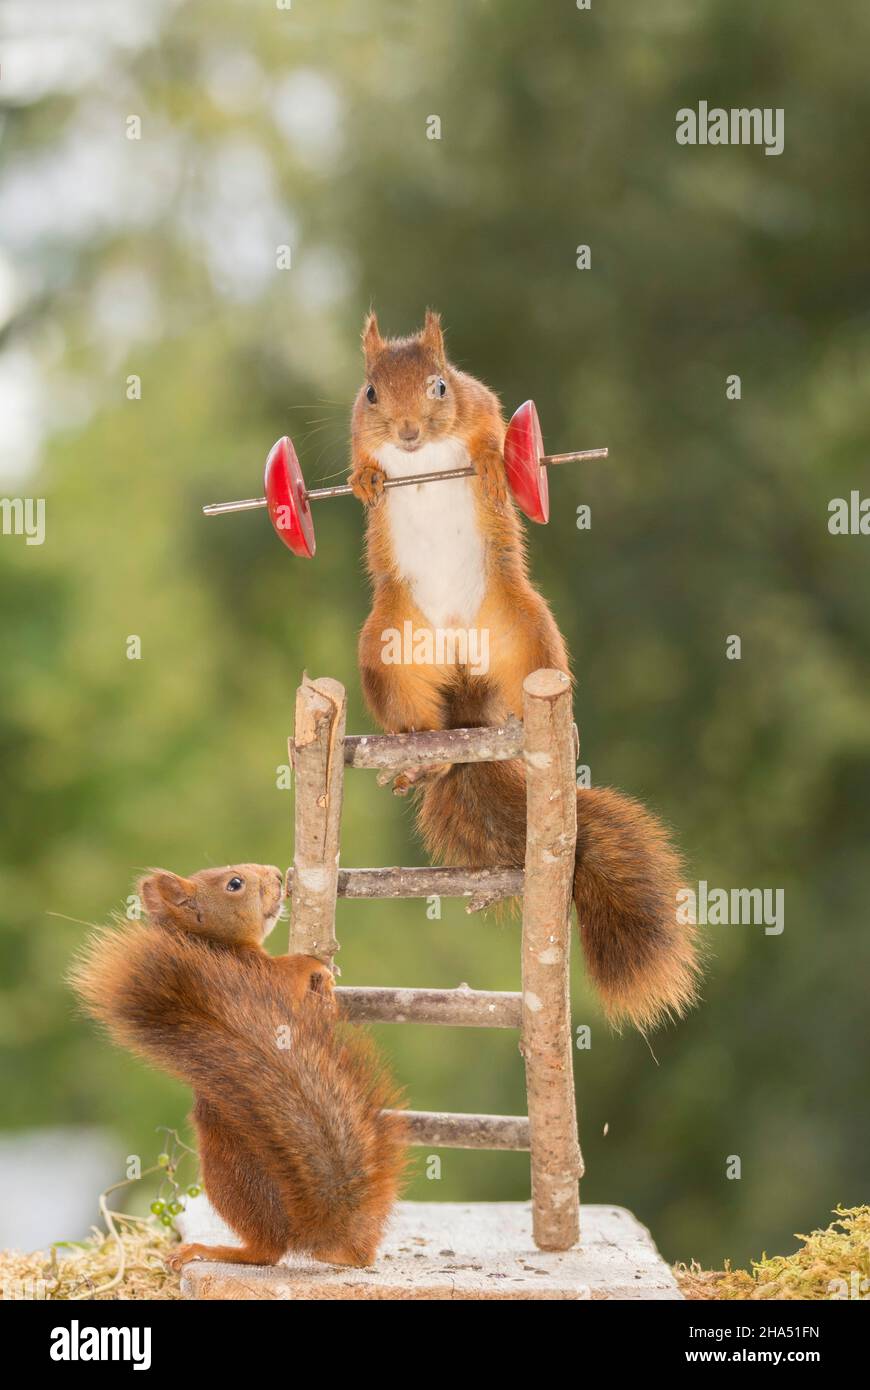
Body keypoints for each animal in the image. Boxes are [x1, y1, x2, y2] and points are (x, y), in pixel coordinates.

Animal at [69, 863, 406, 1270]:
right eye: (235, 884)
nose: (276, 874)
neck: (219, 945)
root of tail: (325, 1234)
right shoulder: (255, 975)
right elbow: (285, 974)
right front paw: (314, 967)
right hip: (228, 1175)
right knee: (265, 1252)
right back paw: (213, 1250)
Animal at [350, 310, 700, 1032]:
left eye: (440, 384)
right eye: (370, 393)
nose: (407, 432)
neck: (419, 461)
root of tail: (464, 673)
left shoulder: (479, 403)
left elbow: (491, 426)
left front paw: (488, 464)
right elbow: (352, 456)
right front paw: (366, 479)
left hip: (529, 633)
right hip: (390, 649)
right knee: (420, 728)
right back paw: (419, 756)